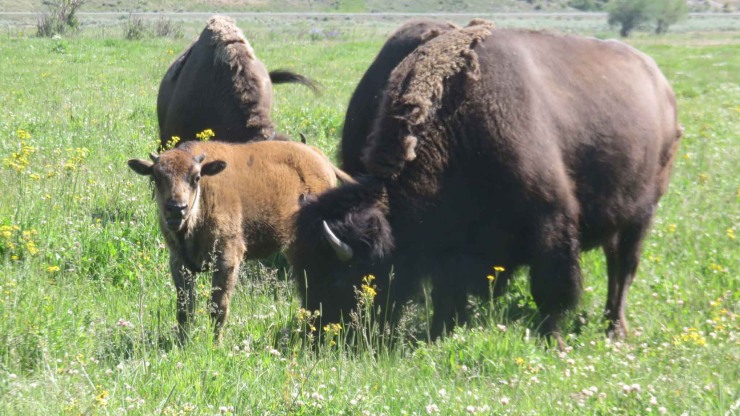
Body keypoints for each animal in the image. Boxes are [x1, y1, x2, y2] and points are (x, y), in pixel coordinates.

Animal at [128, 140, 348, 343]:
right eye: (156, 177)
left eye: (196, 177)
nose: (176, 208)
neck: (204, 199)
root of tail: (321, 159)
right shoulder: (179, 264)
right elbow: (185, 309)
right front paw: (184, 342)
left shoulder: (226, 261)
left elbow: (218, 307)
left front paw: (215, 344)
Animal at [289, 21, 682, 348]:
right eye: (302, 270)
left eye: (340, 277)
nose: (318, 333)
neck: (458, 121)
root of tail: (661, 85)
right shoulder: (452, 244)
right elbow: (449, 292)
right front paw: (439, 333)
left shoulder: (550, 221)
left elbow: (550, 287)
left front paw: (554, 340)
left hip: (642, 214)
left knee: (623, 268)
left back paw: (615, 328)